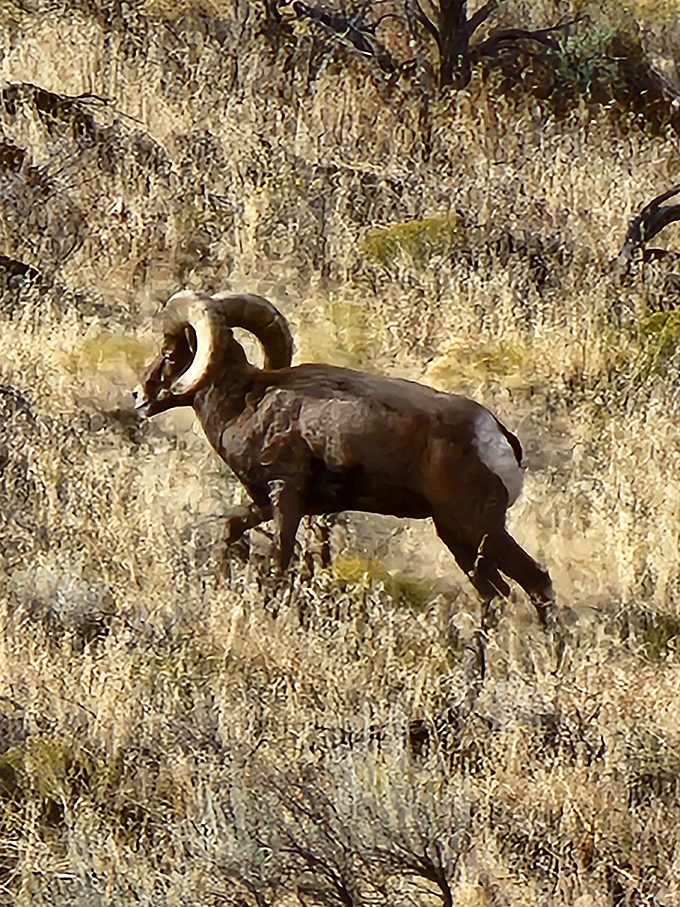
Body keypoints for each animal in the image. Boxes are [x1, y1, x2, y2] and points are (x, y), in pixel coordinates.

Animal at [134, 290, 553, 623]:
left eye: (169, 353)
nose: (139, 396)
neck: (245, 404)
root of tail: (498, 436)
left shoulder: (286, 496)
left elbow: (279, 562)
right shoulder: (265, 503)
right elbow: (230, 529)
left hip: (476, 529)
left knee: (537, 584)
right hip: (460, 540)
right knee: (496, 595)